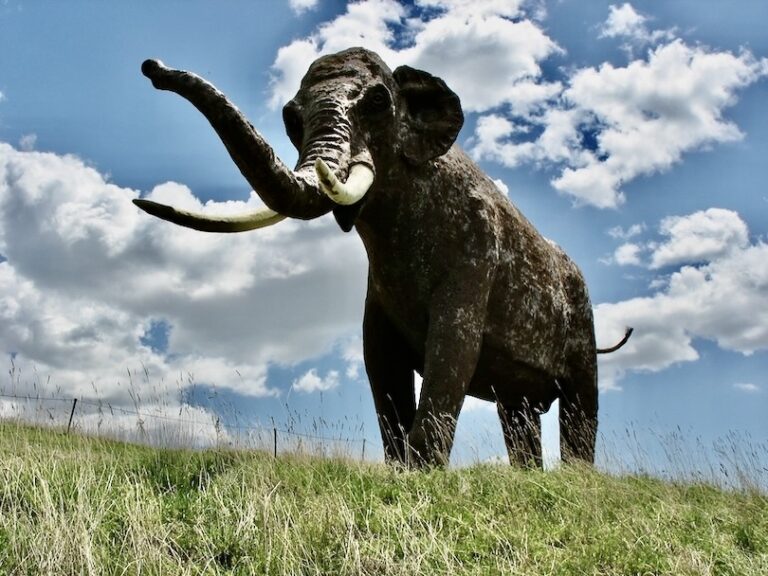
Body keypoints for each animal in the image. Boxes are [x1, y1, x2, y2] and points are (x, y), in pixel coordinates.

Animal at [133, 48, 631, 468]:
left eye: (377, 101)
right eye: (291, 117)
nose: (152, 69)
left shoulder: (476, 250)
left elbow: (452, 349)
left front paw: (422, 476)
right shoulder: (380, 286)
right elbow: (381, 362)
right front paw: (402, 474)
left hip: (582, 323)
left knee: (580, 408)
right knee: (519, 414)